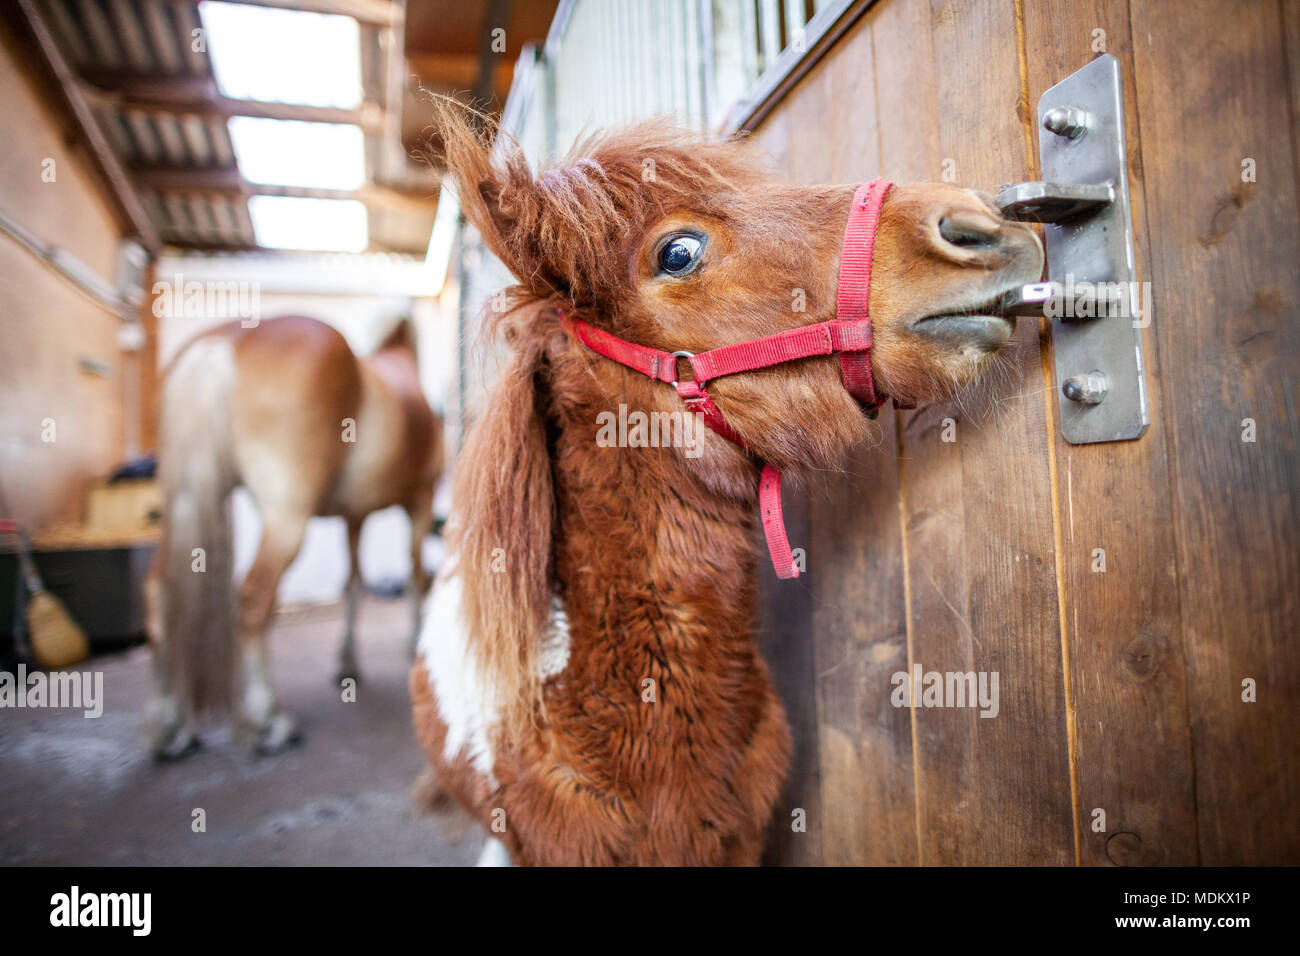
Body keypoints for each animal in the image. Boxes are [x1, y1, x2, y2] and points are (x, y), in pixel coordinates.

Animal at [147, 315, 443, 759]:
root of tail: (221, 345)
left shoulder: (353, 517)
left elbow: (353, 583)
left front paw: (347, 662)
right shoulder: (421, 500)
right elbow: (415, 576)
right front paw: (415, 642)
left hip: (186, 504)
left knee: (160, 591)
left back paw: (172, 728)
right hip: (287, 520)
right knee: (254, 597)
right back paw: (270, 721)